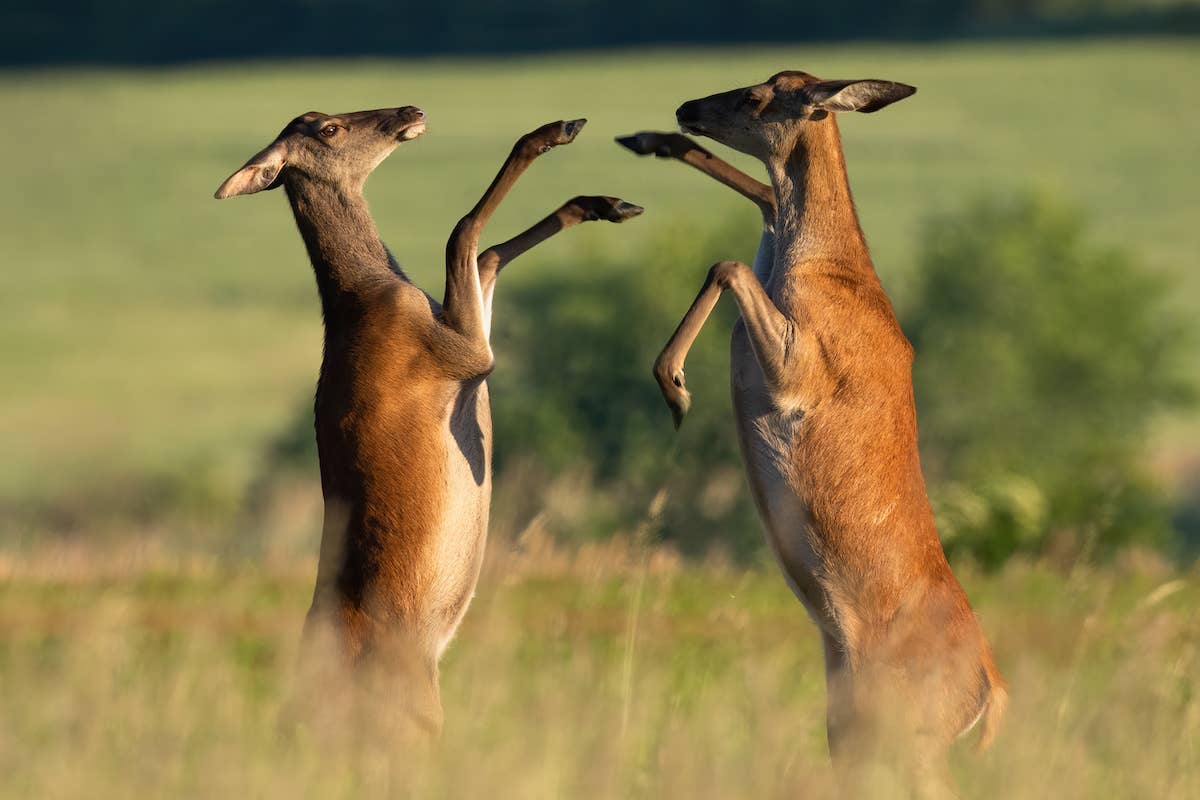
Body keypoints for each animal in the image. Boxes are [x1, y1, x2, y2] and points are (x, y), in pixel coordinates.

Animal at [215, 107, 642, 736]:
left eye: (322, 115)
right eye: (330, 129)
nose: (408, 112)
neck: (372, 295)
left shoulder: (460, 332)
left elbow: (487, 254)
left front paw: (604, 203)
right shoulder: (463, 355)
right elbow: (463, 233)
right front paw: (554, 133)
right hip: (414, 715)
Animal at [618, 72, 1006, 797]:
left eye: (761, 96)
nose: (686, 108)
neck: (820, 265)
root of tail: (991, 694)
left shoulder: (802, 364)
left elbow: (728, 262)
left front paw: (674, 384)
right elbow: (764, 201)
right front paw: (648, 141)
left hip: (907, 732)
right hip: (849, 731)